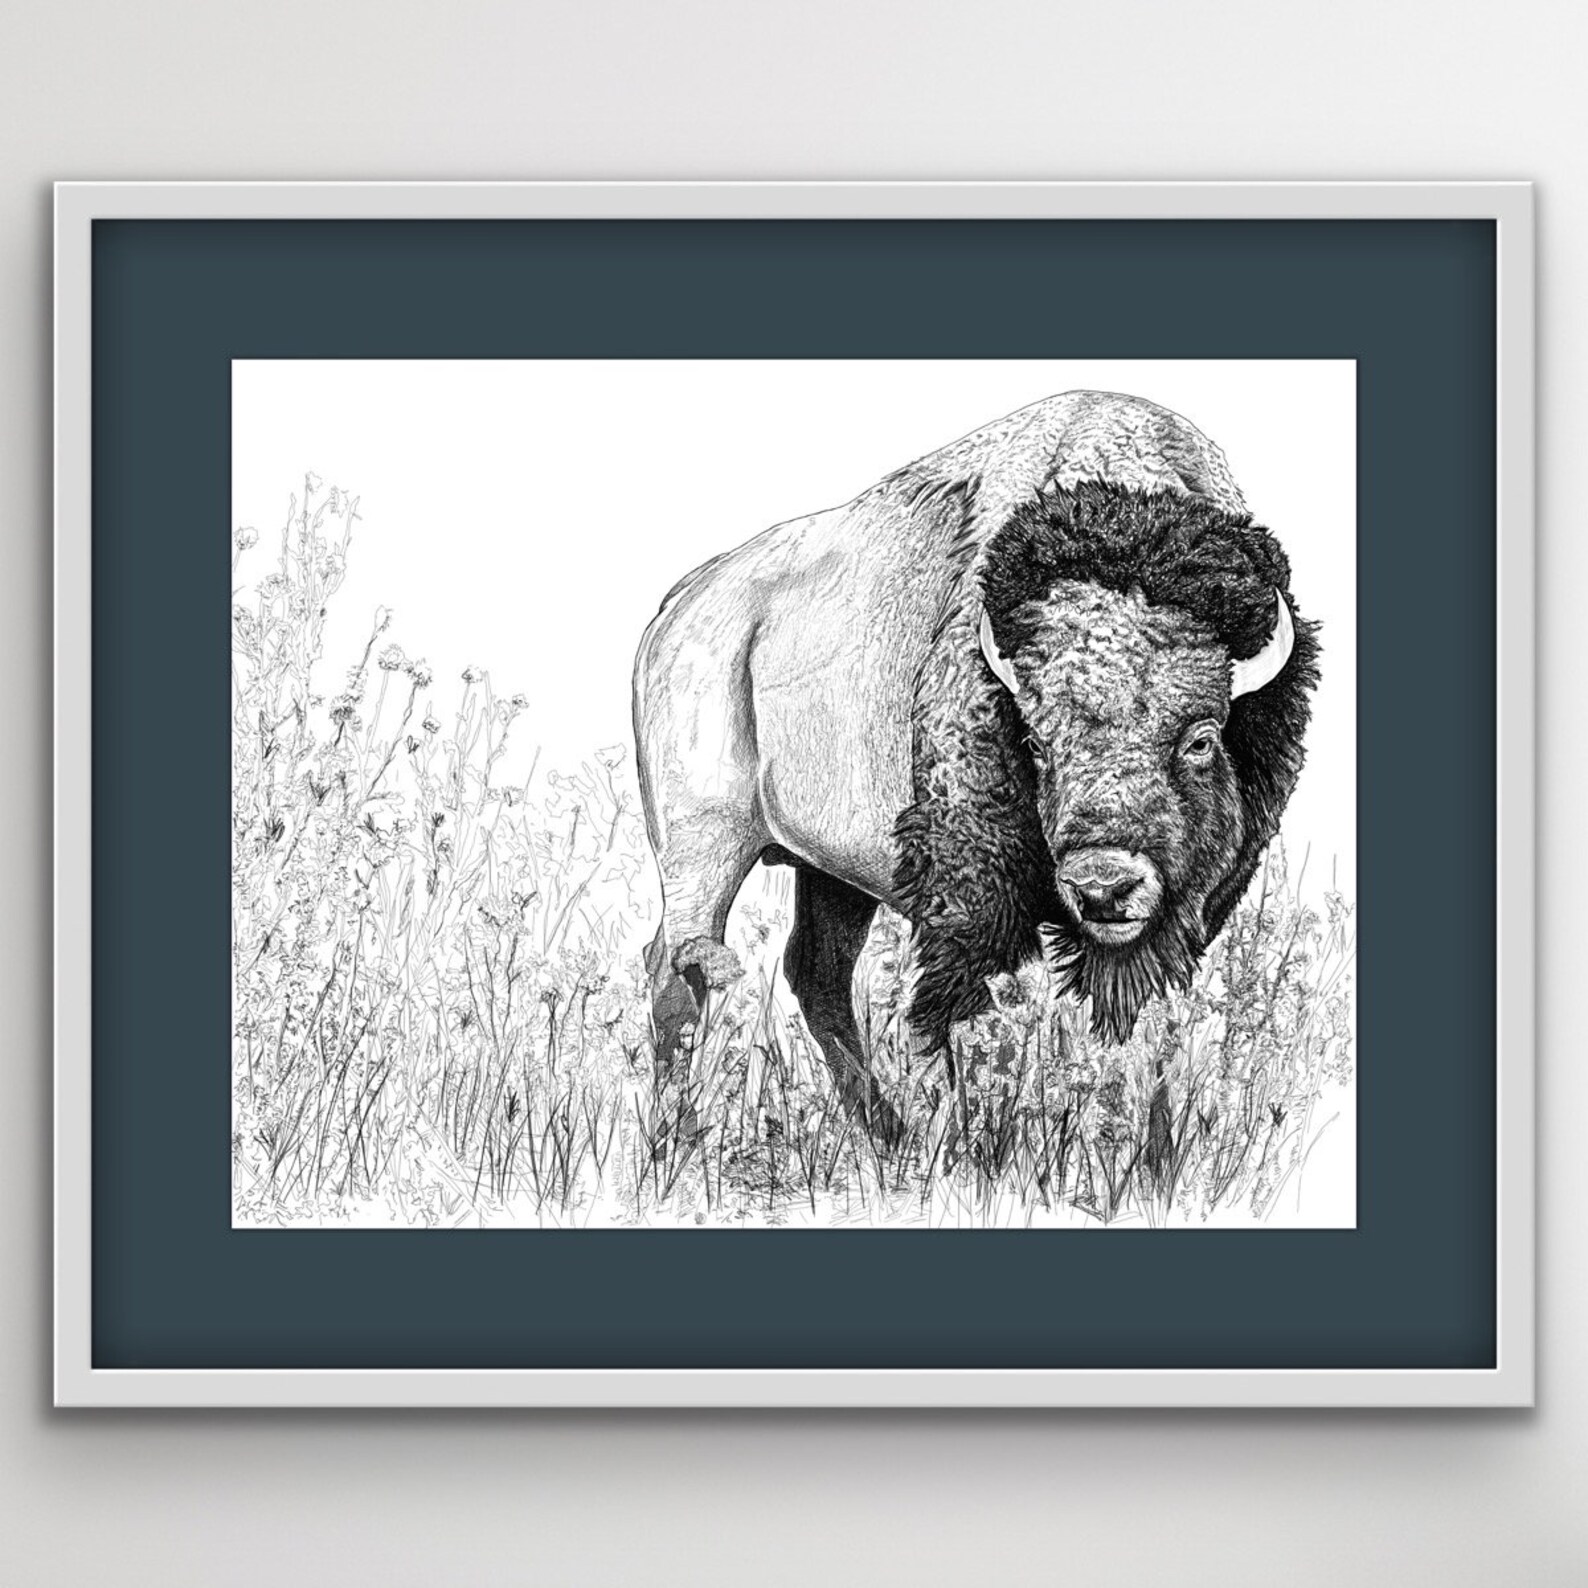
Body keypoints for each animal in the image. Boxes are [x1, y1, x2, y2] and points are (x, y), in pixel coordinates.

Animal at [633, 391, 1319, 1136]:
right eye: (1036, 741)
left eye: (1199, 738)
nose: (1103, 888)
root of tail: (679, 609)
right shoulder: (967, 901)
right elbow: (957, 1014)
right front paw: (970, 1140)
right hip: (704, 846)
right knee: (679, 969)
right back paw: (675, 1139)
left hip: (830, 873)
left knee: (817, 974)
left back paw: (886, 1137)